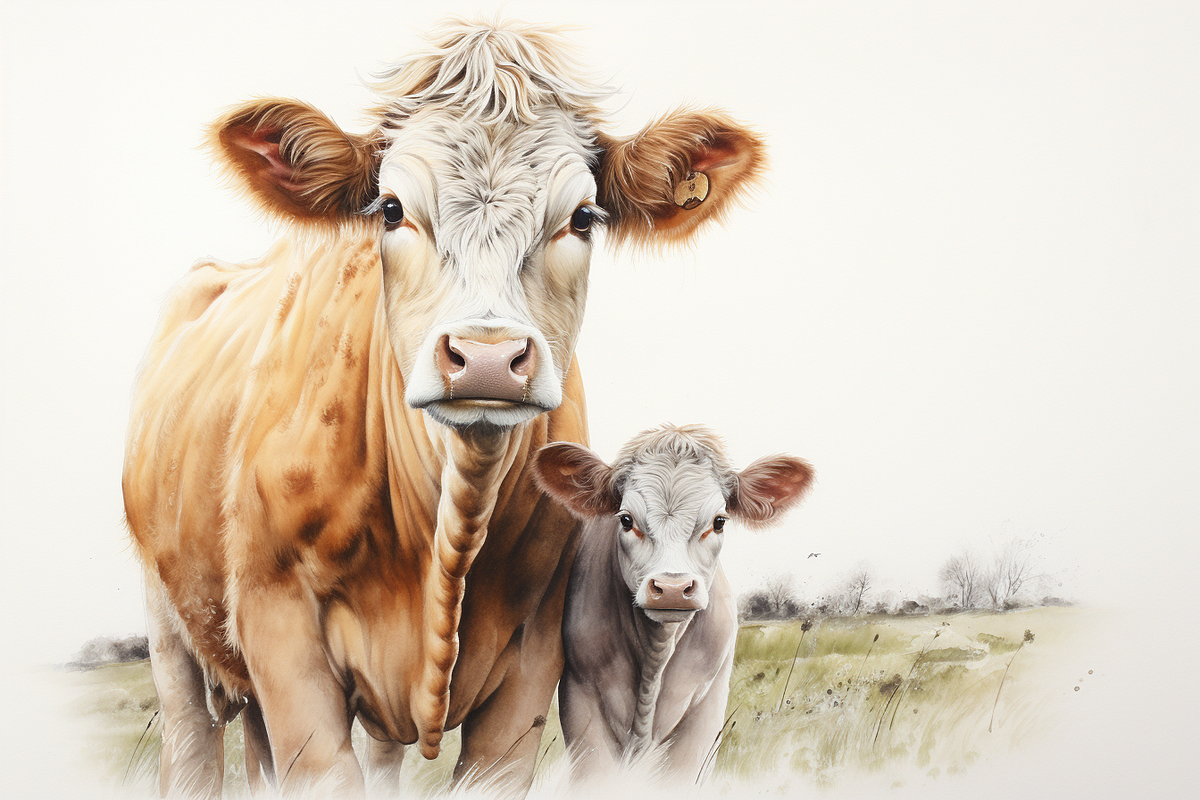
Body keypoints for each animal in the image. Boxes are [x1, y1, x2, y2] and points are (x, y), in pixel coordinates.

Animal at [121, 20, 766, 799]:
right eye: (392, 209)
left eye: (583, 217)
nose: (487, 356)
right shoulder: (284, 641)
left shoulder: (531, 673)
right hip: (171, 629)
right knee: (190, 742)